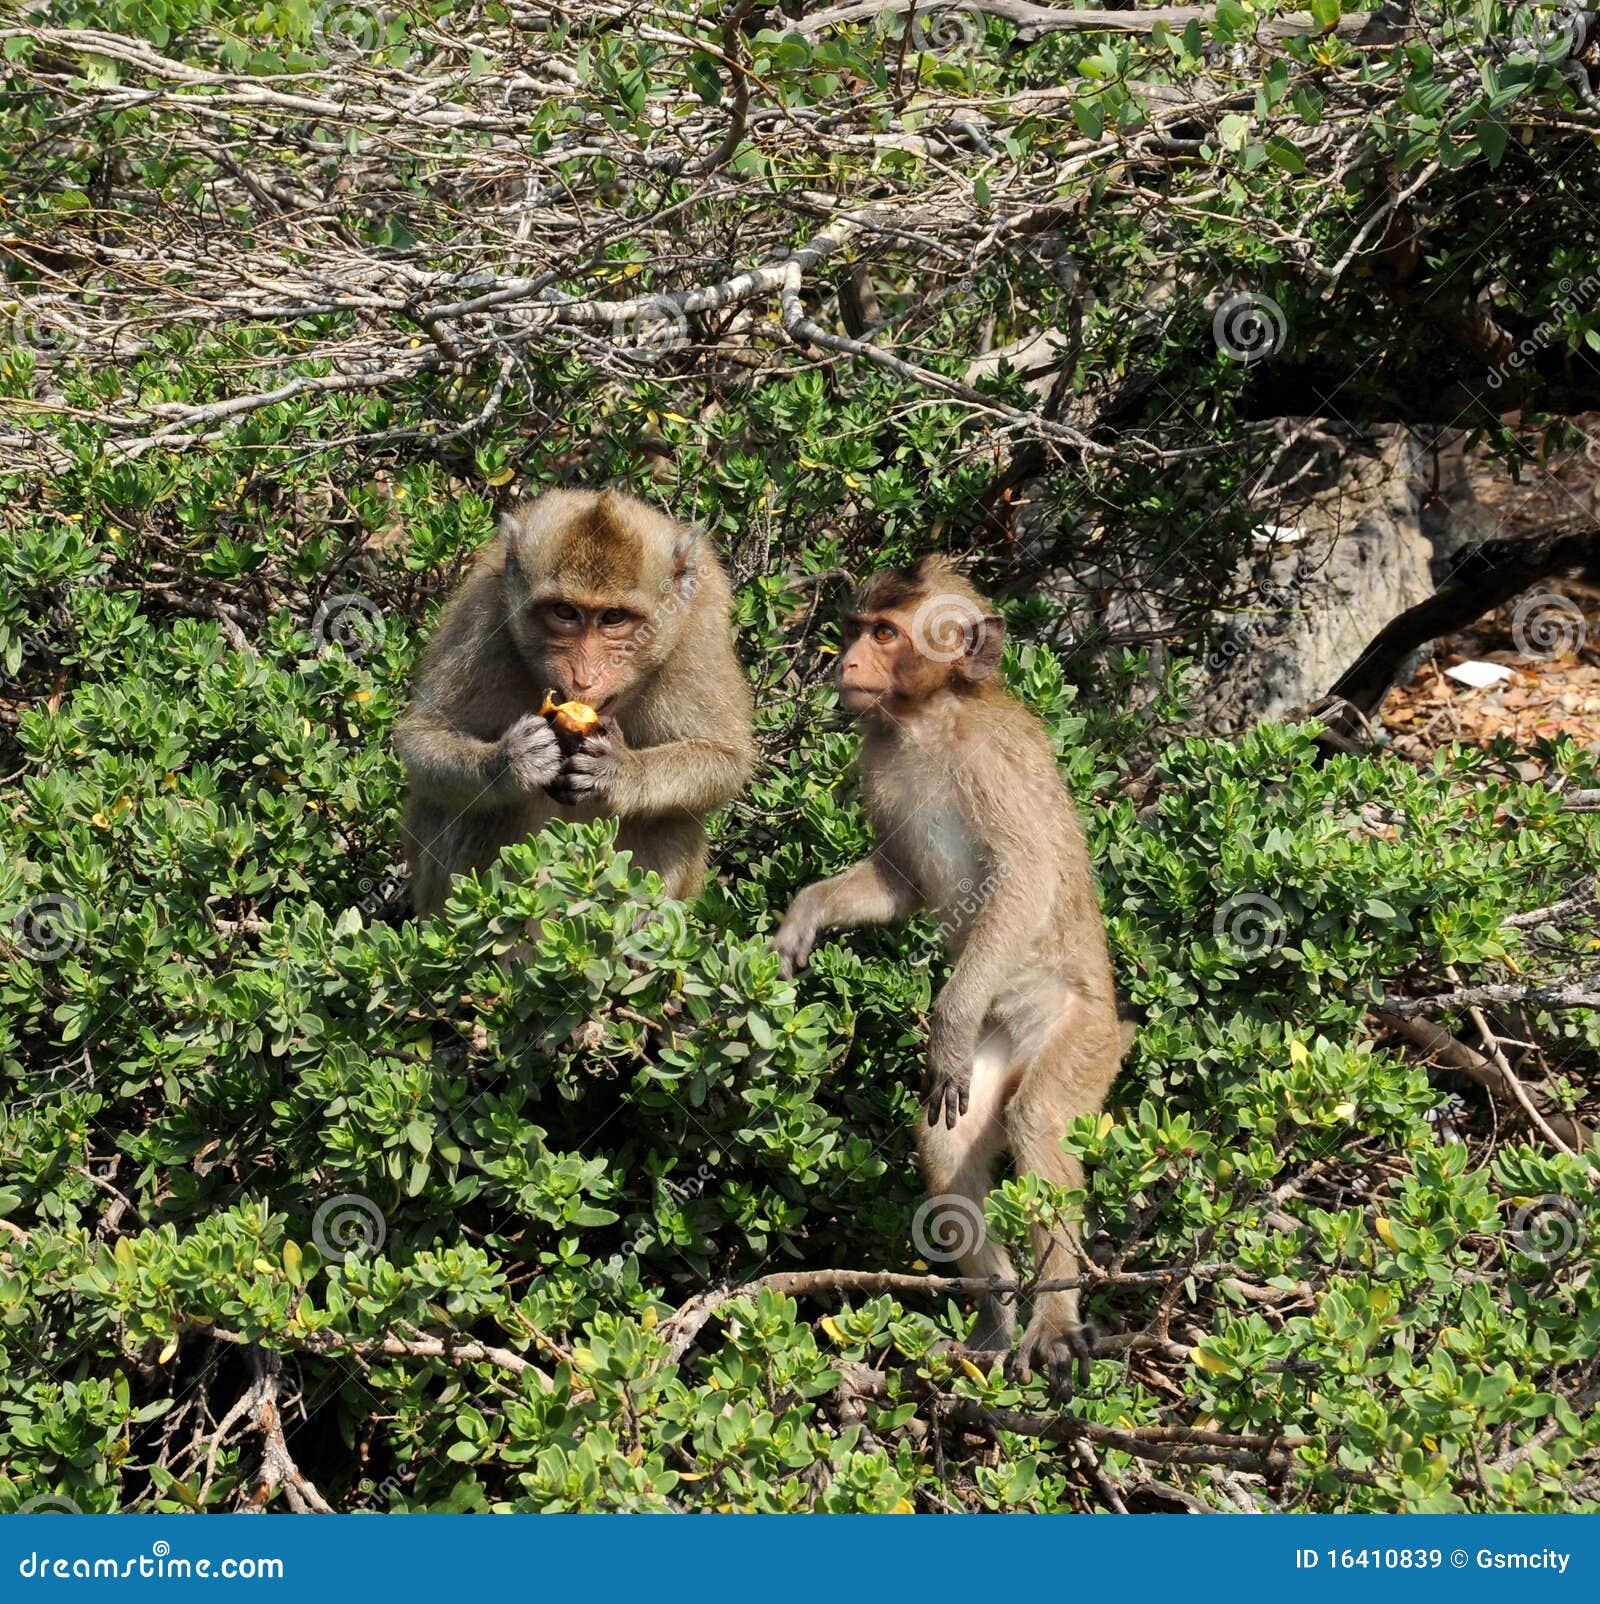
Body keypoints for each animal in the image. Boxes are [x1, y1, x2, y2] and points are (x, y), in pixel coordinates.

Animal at [396, 487, 756, 917]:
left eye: (613, 617)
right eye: (565, 612)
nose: (584, 678)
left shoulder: (699, 627)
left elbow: (724, 757)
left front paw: (618, 770)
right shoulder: (483, 614)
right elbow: (423, 737)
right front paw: (510, 761)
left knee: (672, 819)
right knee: (458, 807)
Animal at [774, 556, 1123, 1394]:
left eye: (886, 634)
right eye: (857, 628)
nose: (847, 664)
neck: (928, 717)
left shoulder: (989, 757)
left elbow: (1025, 877)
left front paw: (947, 1013)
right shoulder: (876, 754)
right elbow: (901, 882)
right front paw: (805, 915)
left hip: (1083, 1035)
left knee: (1039, 1120)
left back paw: (1051, 1323)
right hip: (996, 1052)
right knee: (947, 1137)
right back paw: (995, 1321)